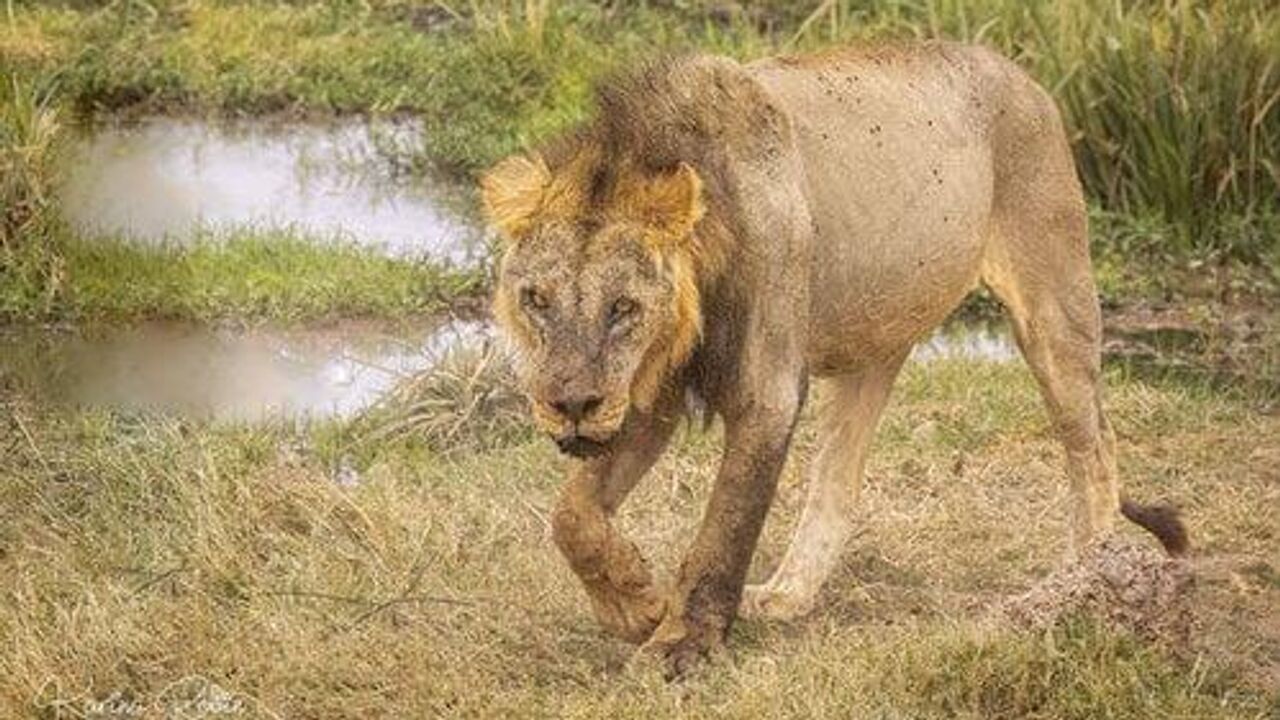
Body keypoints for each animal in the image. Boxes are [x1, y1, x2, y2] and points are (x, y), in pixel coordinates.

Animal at [480, 41, 1187, 676]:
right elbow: (573, 517)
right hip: (874, 346)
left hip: (1055, 302)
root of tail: (1023, 75)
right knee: (838, 481)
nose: (570, 404)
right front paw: (636, 605)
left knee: (1094, 444)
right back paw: (786, 596)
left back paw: (1090, 582)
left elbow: (724, 531)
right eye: (536, 299)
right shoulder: (646, 393)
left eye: (623, 307)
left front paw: (680, 644)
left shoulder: (766, 393)